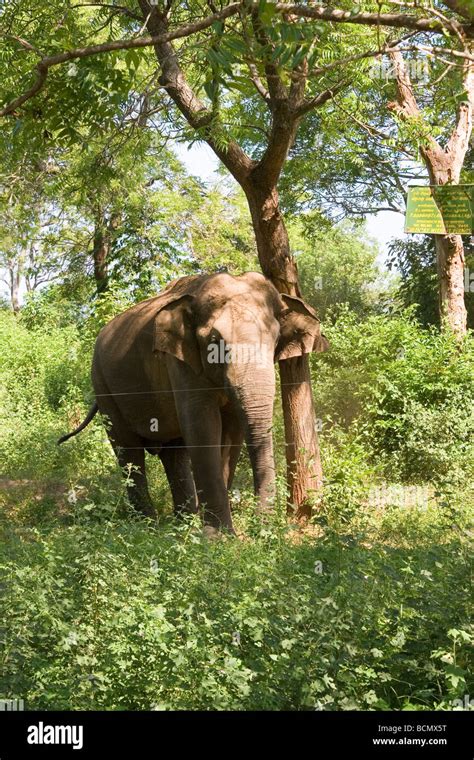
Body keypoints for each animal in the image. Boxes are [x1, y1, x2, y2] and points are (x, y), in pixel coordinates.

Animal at [58, 272, 328, 533]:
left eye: (275, 339)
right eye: (214, 341)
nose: (262, 529)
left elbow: (232, 432)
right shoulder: (180, 361)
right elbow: (202, 426)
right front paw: (218, 537)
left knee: (173, 452)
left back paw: (182, 523)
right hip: (103, 386)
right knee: (128, 450)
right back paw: (146, 525)